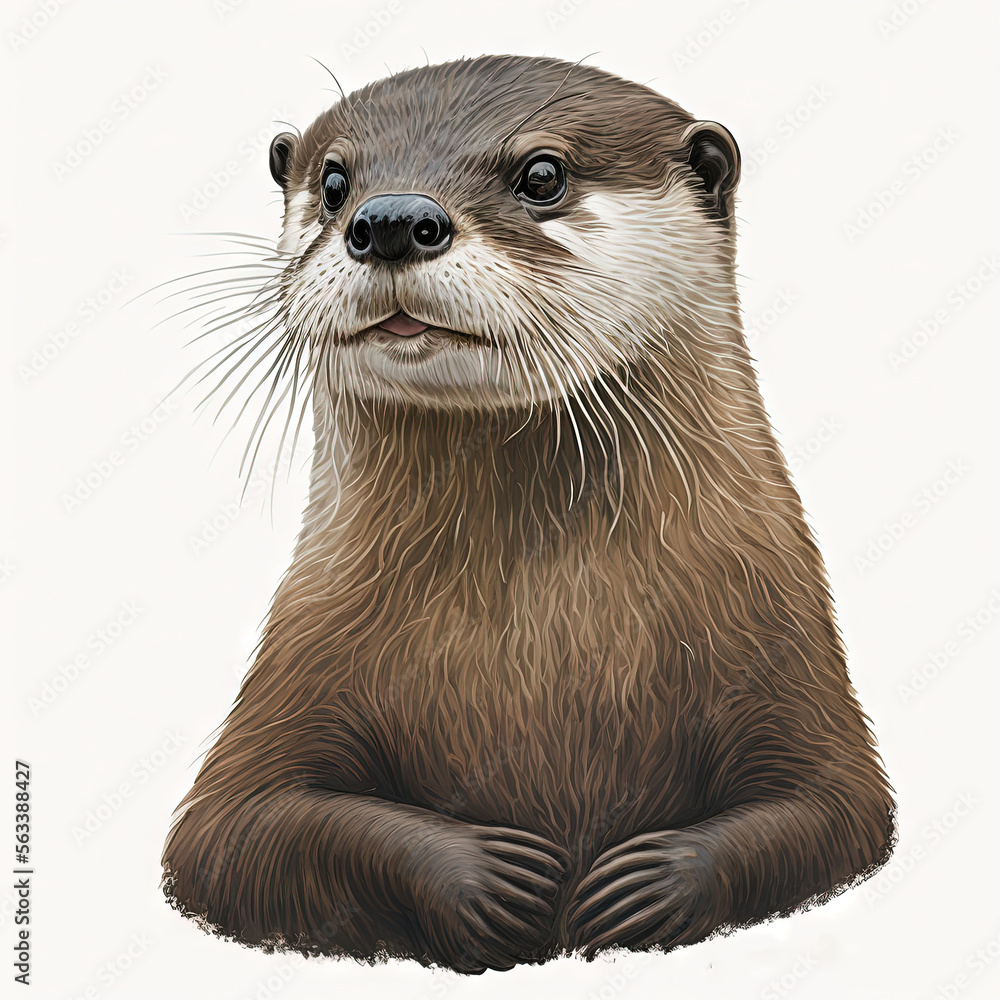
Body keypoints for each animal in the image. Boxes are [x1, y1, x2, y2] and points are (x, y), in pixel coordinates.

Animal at [161, 54, 895, 974]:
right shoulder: (291, 679)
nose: (390, 219)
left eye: (542, 175)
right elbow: (229, 839)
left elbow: (840, 812)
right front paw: (486, 880)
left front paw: (643, 888)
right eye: (332, 181)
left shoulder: (788, 651)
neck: (542, 641)